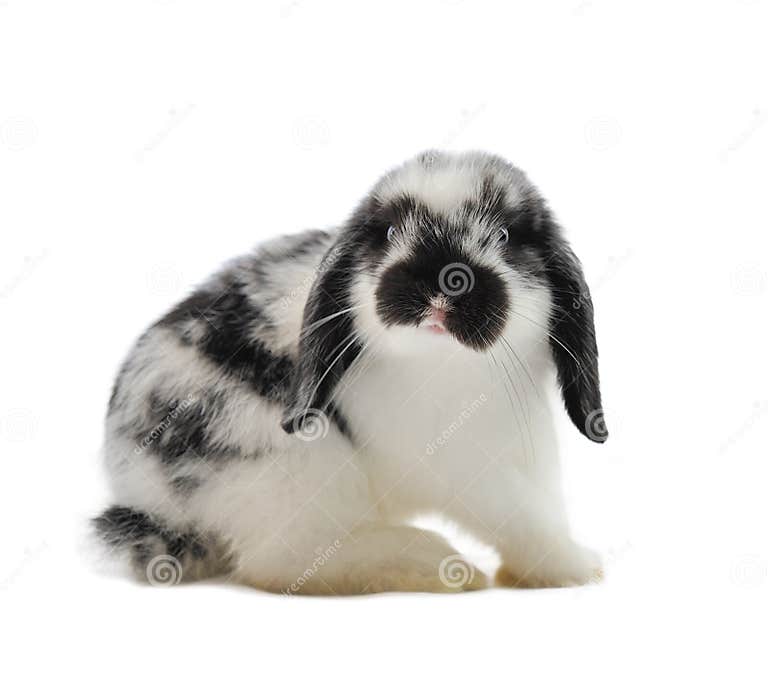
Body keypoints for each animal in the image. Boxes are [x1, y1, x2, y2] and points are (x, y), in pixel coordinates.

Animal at [94, 150, 608, 594]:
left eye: (504, 235)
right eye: (390, 231)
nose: (444, 279)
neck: (450, 368)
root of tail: (142, 493)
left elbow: (541, 508)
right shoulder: (462, 469)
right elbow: (522, 517)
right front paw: (576, 568)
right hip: (294, 466)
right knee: (285, 560)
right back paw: (436, 564)